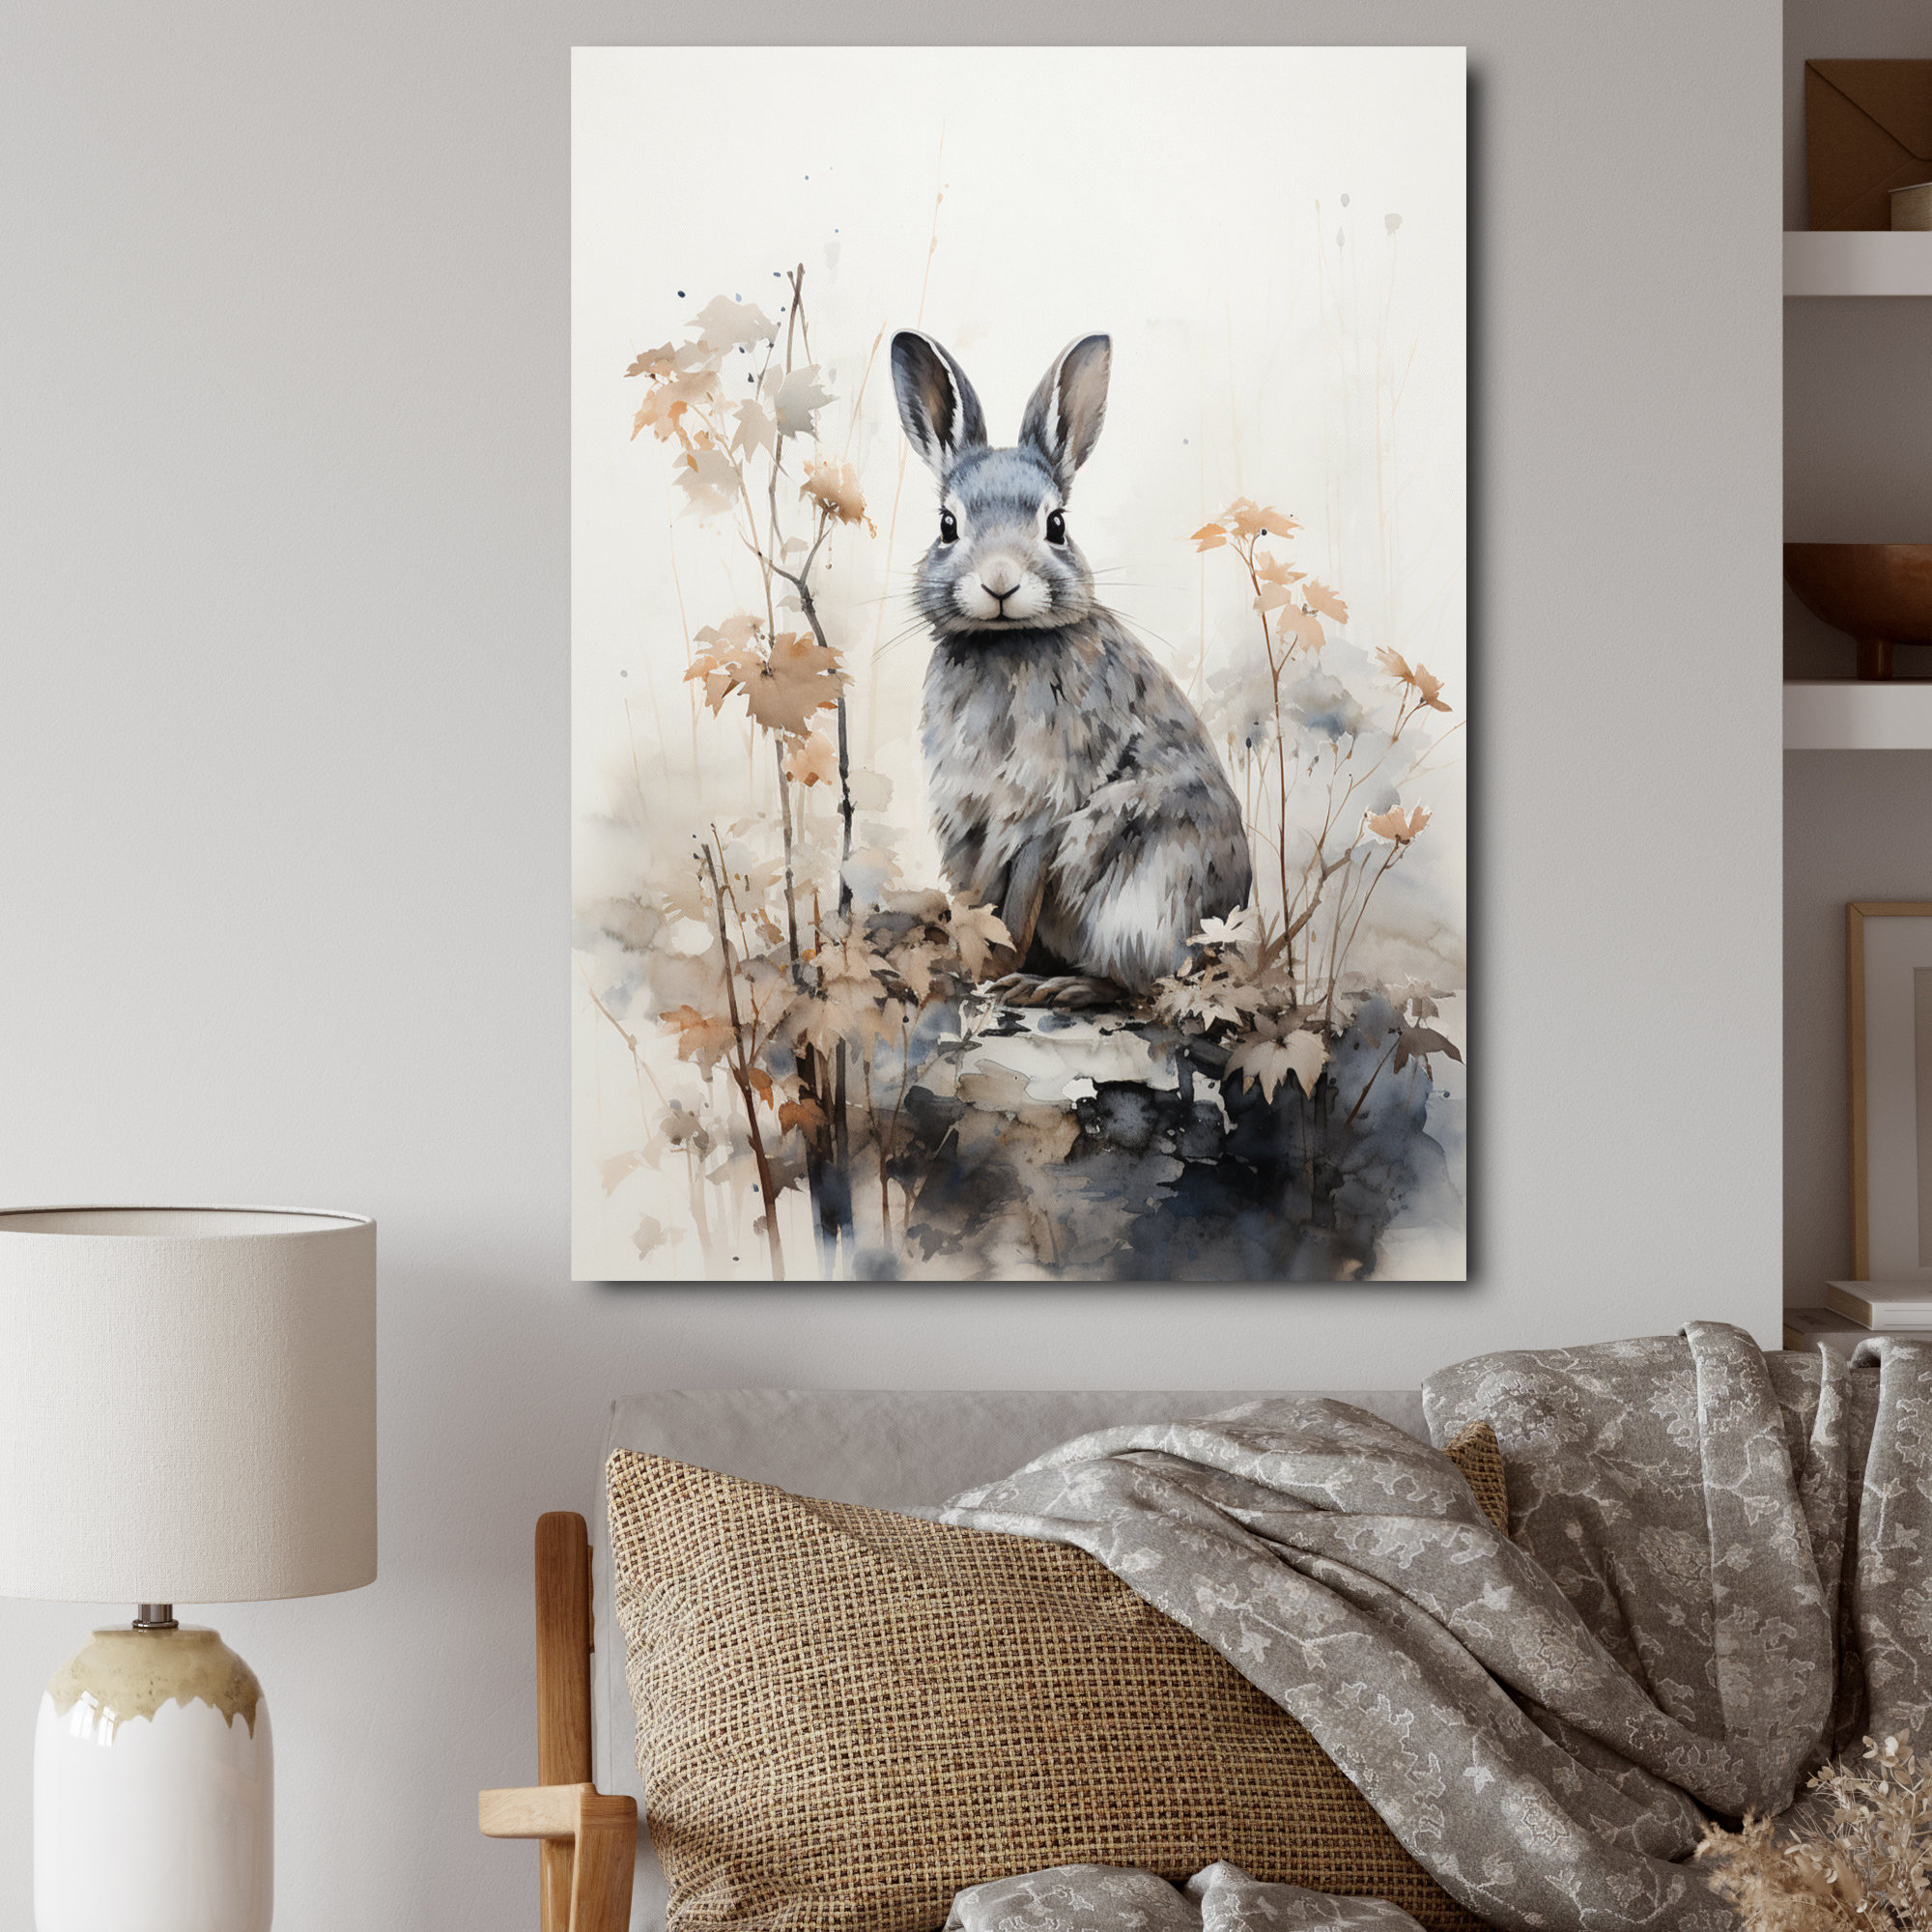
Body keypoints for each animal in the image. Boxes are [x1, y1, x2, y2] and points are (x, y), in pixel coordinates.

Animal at [890, 329, 1252, 1007]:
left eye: (1056, 525)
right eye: (947, 525)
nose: (1000, 581)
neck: (1007, 644)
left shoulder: (1042, 811)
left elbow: (1016, 906)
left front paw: (999, 974)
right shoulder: (969, 821)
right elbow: (977, 904)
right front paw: (970, 968)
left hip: (1133, 888)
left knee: (1143, 981)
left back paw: (1061, 988)